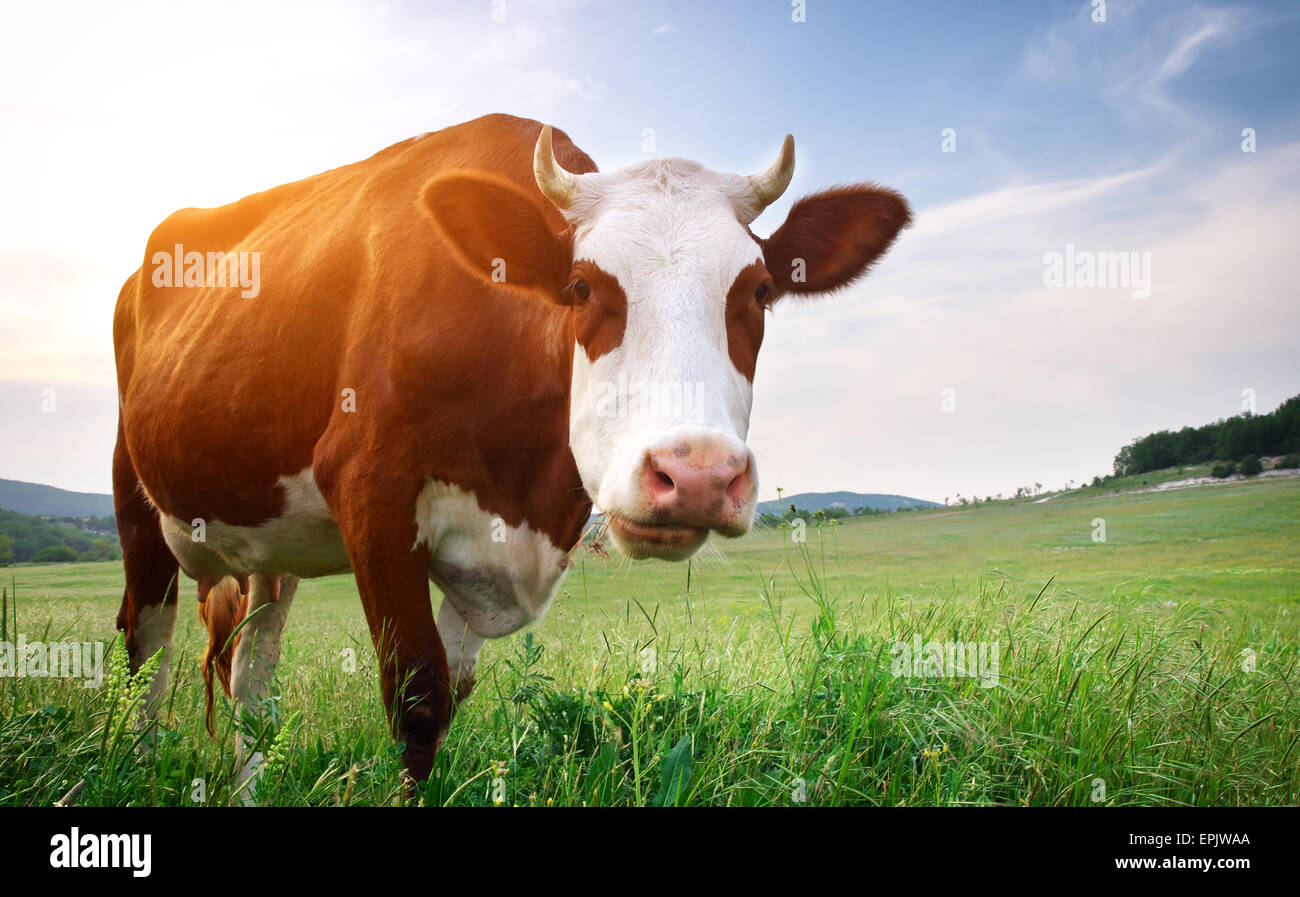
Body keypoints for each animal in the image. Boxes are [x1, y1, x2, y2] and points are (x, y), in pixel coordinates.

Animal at [113, 113, 910, 788]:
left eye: (763, 290)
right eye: (581, 286)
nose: (697, 476)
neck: (531, 490)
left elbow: (449, 696)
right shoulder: (371, 491)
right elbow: (417, 697)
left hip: (267, 547)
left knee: (249, 670)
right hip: (136, 495)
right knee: (146, 648)